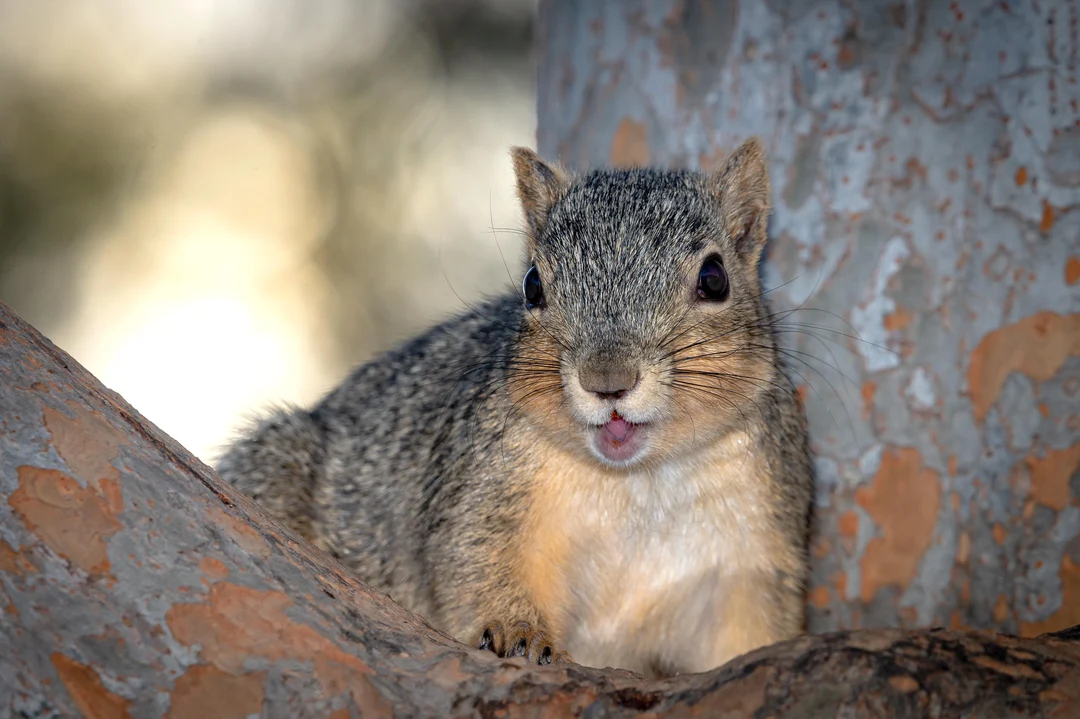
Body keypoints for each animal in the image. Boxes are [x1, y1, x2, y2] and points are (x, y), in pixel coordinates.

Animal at [215, 137, 814, 678]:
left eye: (715, 279)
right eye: (532, 285)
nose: (607, 381)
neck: (639, 481)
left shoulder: (750, 561)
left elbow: (749, 635)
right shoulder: (482, 488)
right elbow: (474, 561)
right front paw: (516, 630)